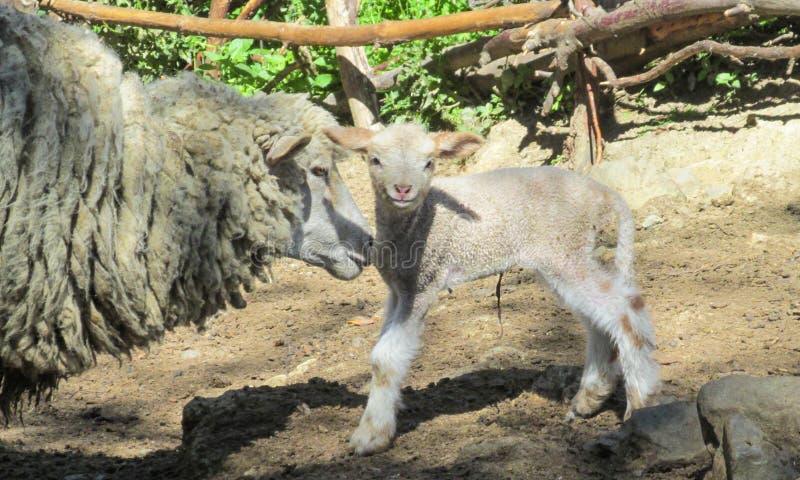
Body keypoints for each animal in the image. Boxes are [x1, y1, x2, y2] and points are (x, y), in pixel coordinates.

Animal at [324, 123, 661, 455]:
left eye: (429, 162)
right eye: (375, 160)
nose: (403, 190)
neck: (417, 221)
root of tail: (602, 192)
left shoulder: (422, 284)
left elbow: (386, 358)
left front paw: (370, 437)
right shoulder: (398, 290)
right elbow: (378, 355)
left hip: (564, 251)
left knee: (625, 309)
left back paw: (641, 402)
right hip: (564, 257)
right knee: (598, 320)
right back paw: (590, 398)